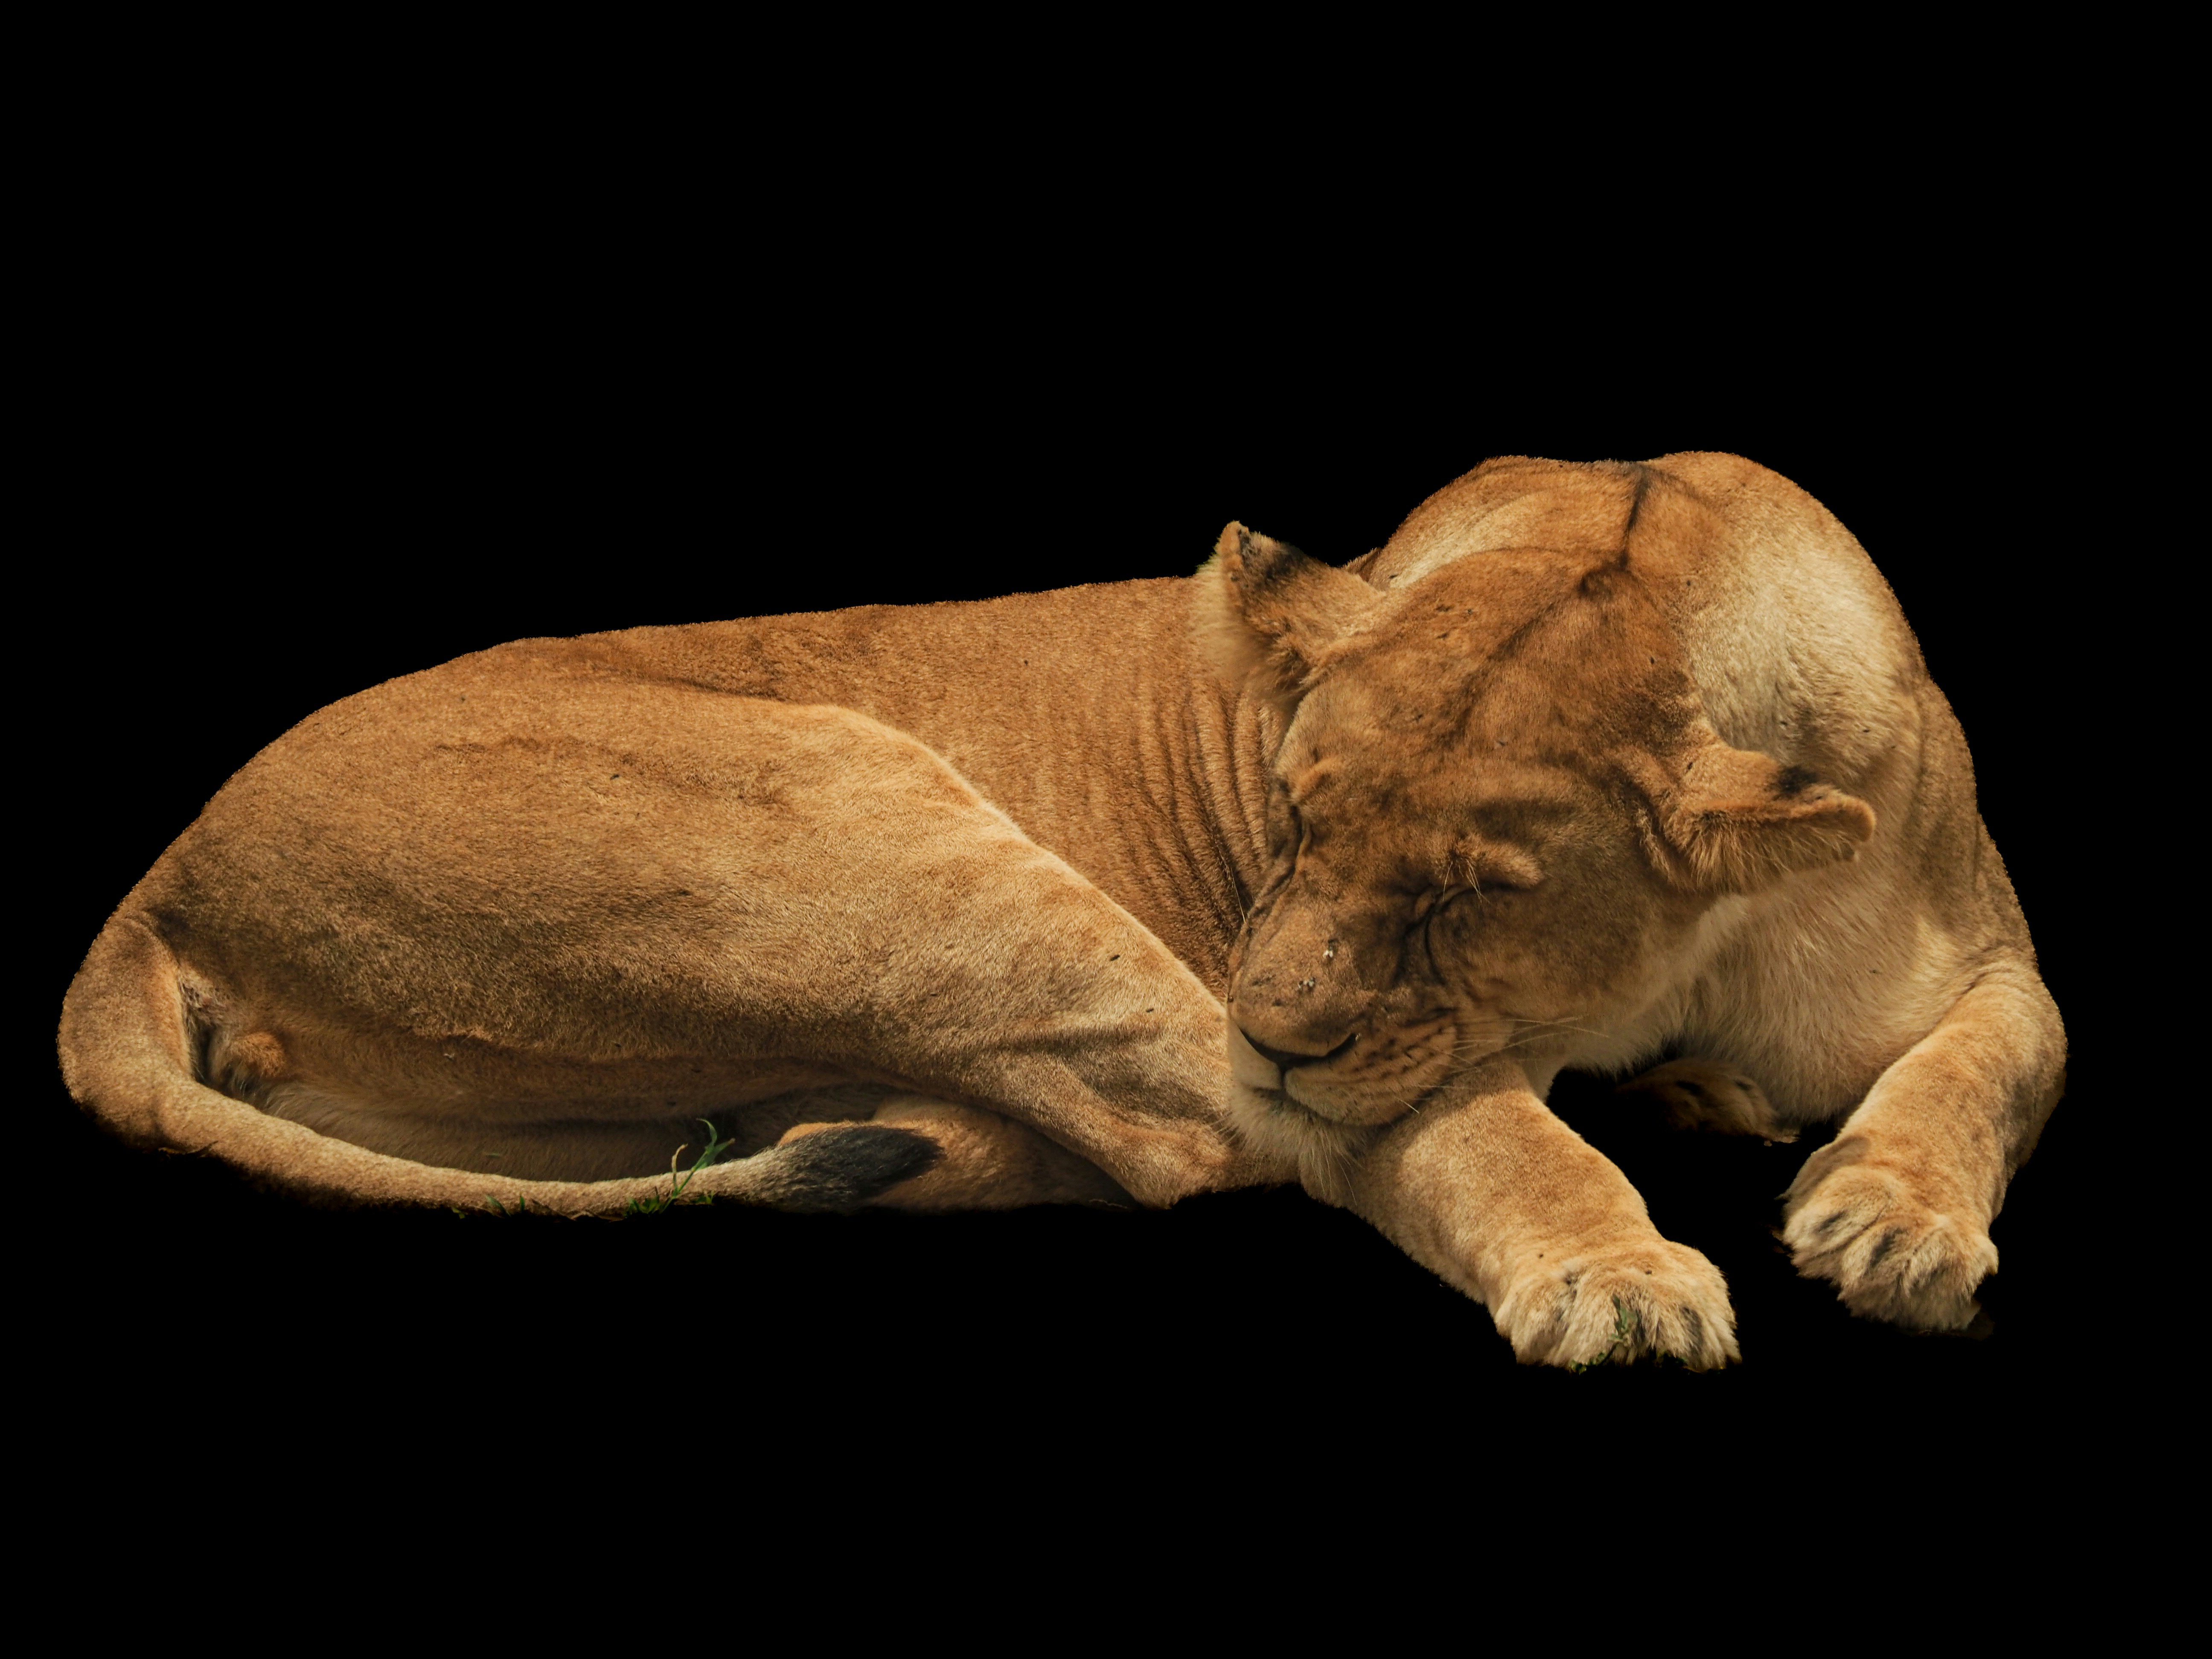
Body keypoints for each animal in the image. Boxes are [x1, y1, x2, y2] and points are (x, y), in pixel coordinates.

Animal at [57, 453, 2064, 1370]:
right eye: (1290, 815)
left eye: (1465, 894)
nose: (1279, 1024)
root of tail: (165, 867)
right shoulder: (1331, 1034)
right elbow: (1479, 1126)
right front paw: (1618, 1274)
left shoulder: (1985, 956)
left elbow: (1986, 1066)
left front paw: (1891, 1216)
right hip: (866, 818)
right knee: (1177, 1137)